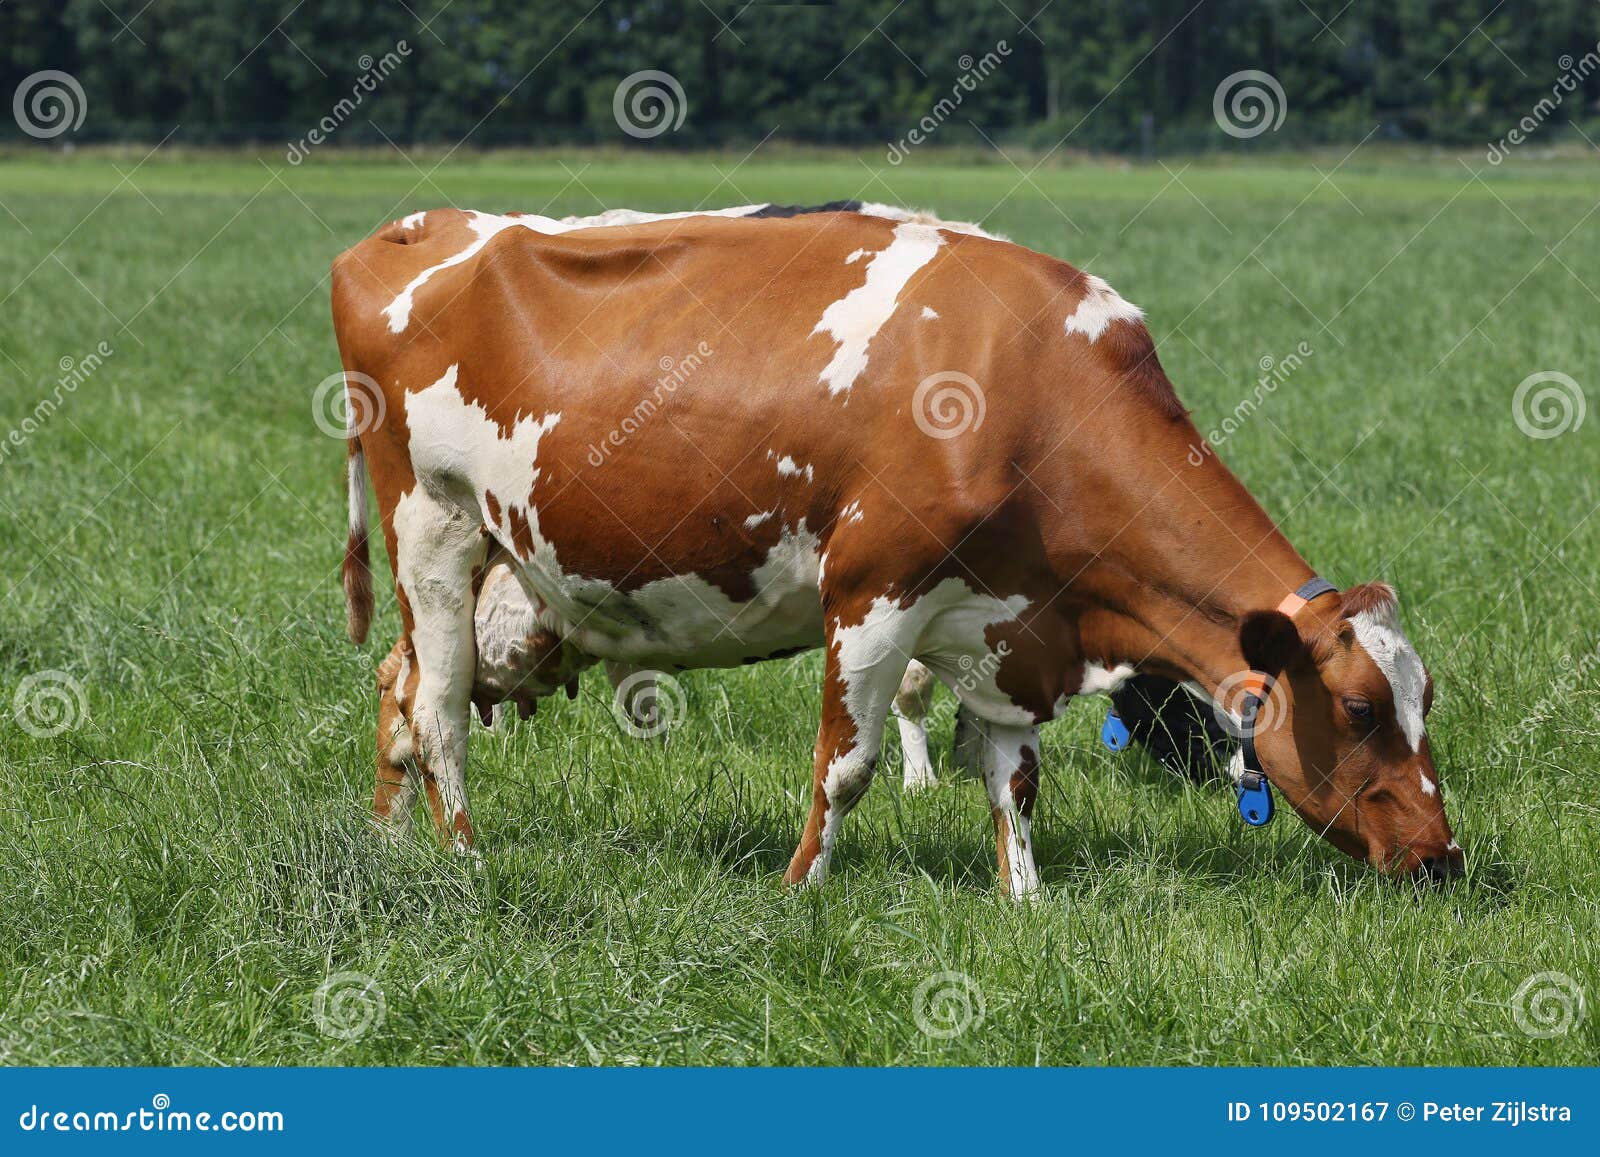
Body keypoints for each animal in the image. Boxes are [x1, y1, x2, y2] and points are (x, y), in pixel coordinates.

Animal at [331, 201, 1463, 893]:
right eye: (1360, 709)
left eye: (1425, 702)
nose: (1442, 854)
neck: (1037, 394)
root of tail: (406, 231)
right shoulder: (873, 597)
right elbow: (847, 764)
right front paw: (800, 887)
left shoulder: (1009, 620)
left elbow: (1013, 776)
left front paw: (1026, 897)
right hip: (431, 528)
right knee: (437, 710)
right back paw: (463, 856)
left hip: (496, 567)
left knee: (396, 681)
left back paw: (389, 838)